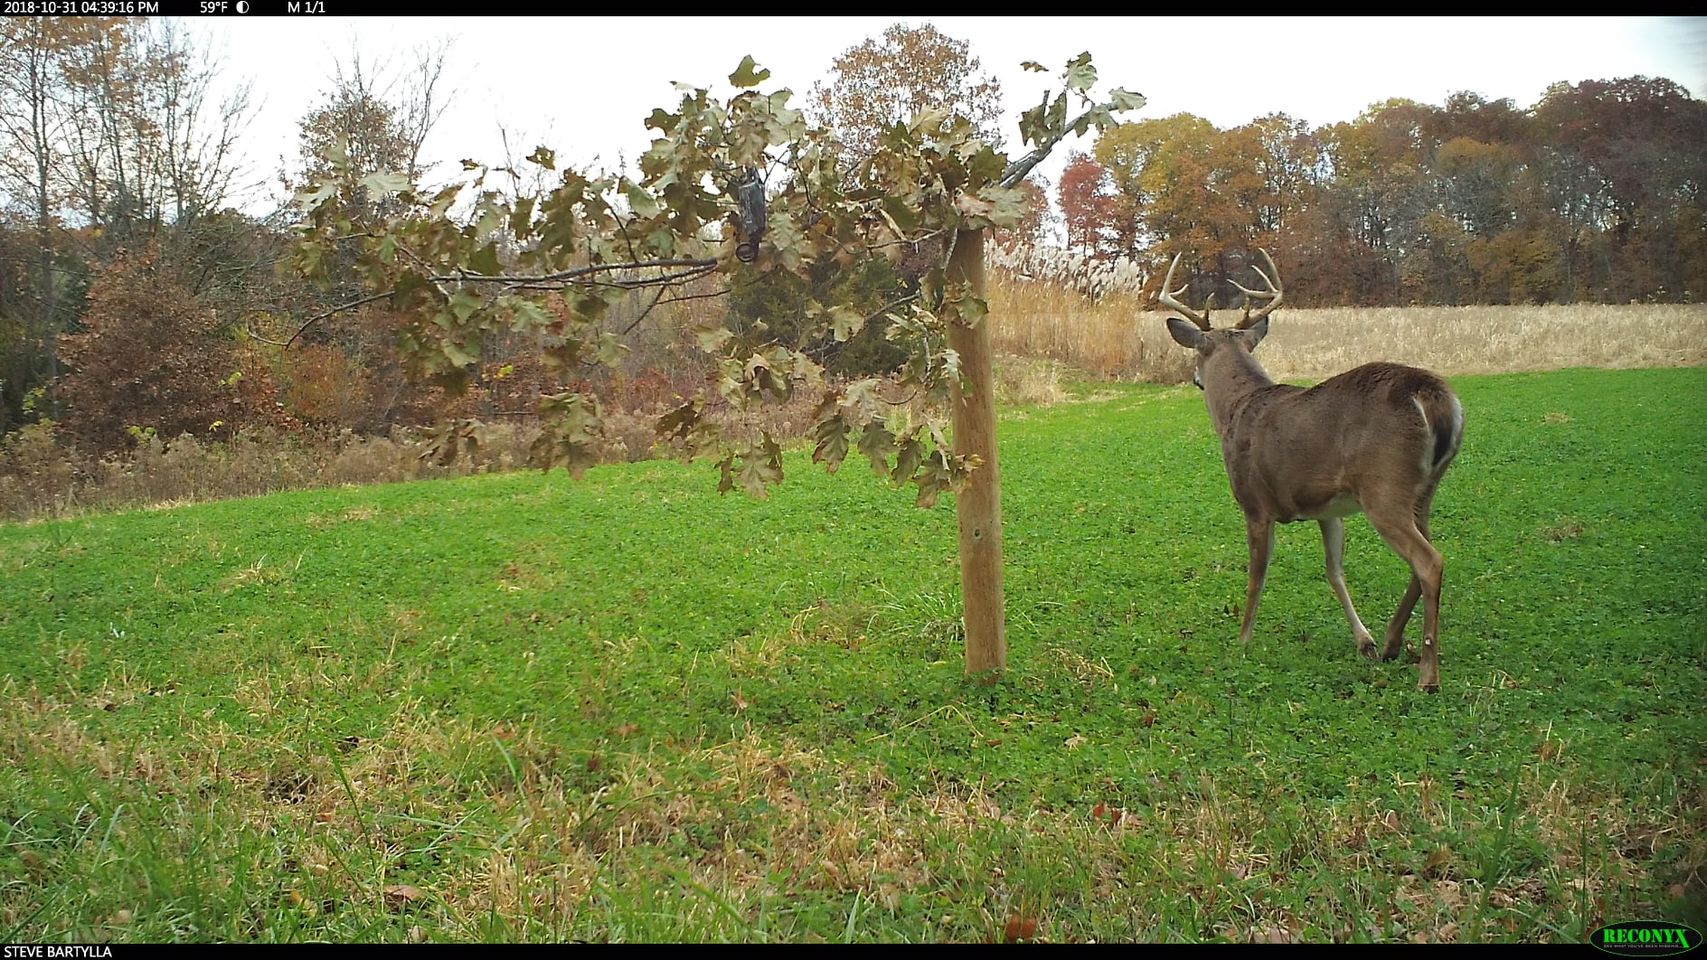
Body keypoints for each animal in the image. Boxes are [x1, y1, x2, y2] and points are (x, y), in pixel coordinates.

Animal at [1157, 250, 1464, 691]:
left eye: (1198, 355)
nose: (1194, 378)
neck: (1234, 409)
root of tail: (1431, 395)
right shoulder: (1327, 509)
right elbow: (1334, 571)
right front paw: (1364, 641)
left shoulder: (1254, 503)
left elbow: (1257, 574)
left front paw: (1243, 639)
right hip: (1425, 490)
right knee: (1424, 558)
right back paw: (1391, 643)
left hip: (1384, 487)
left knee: (1429, 561)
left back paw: (1428, 674)